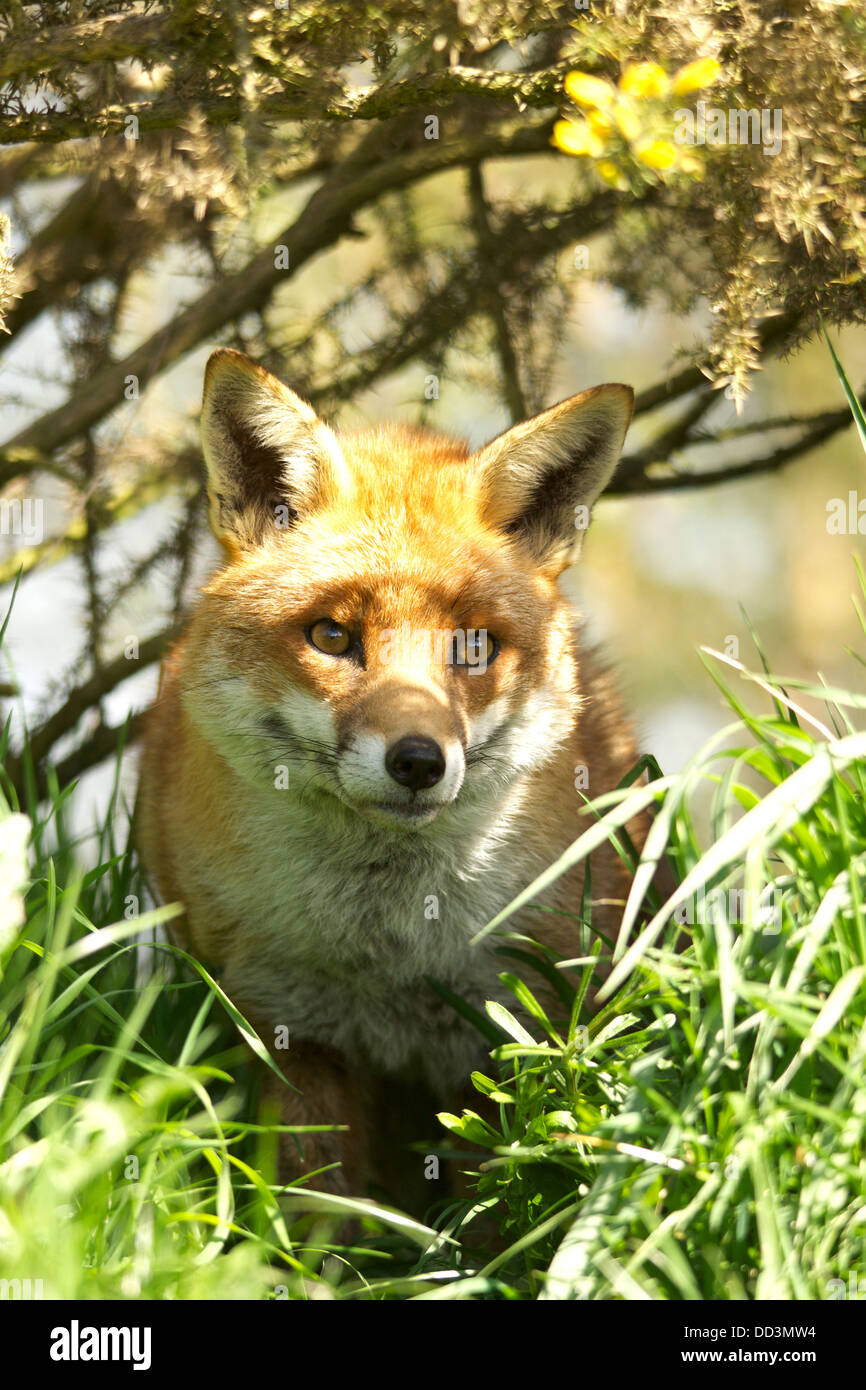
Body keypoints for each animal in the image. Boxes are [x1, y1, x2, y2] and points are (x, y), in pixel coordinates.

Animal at [138, 348, 645, 1201]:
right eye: (331, 635)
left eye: (474, 646)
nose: (417, 761)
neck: (391, 946)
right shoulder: (289, 1027)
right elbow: (313, 1209)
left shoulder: (507, 1031)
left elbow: (495, 1209)